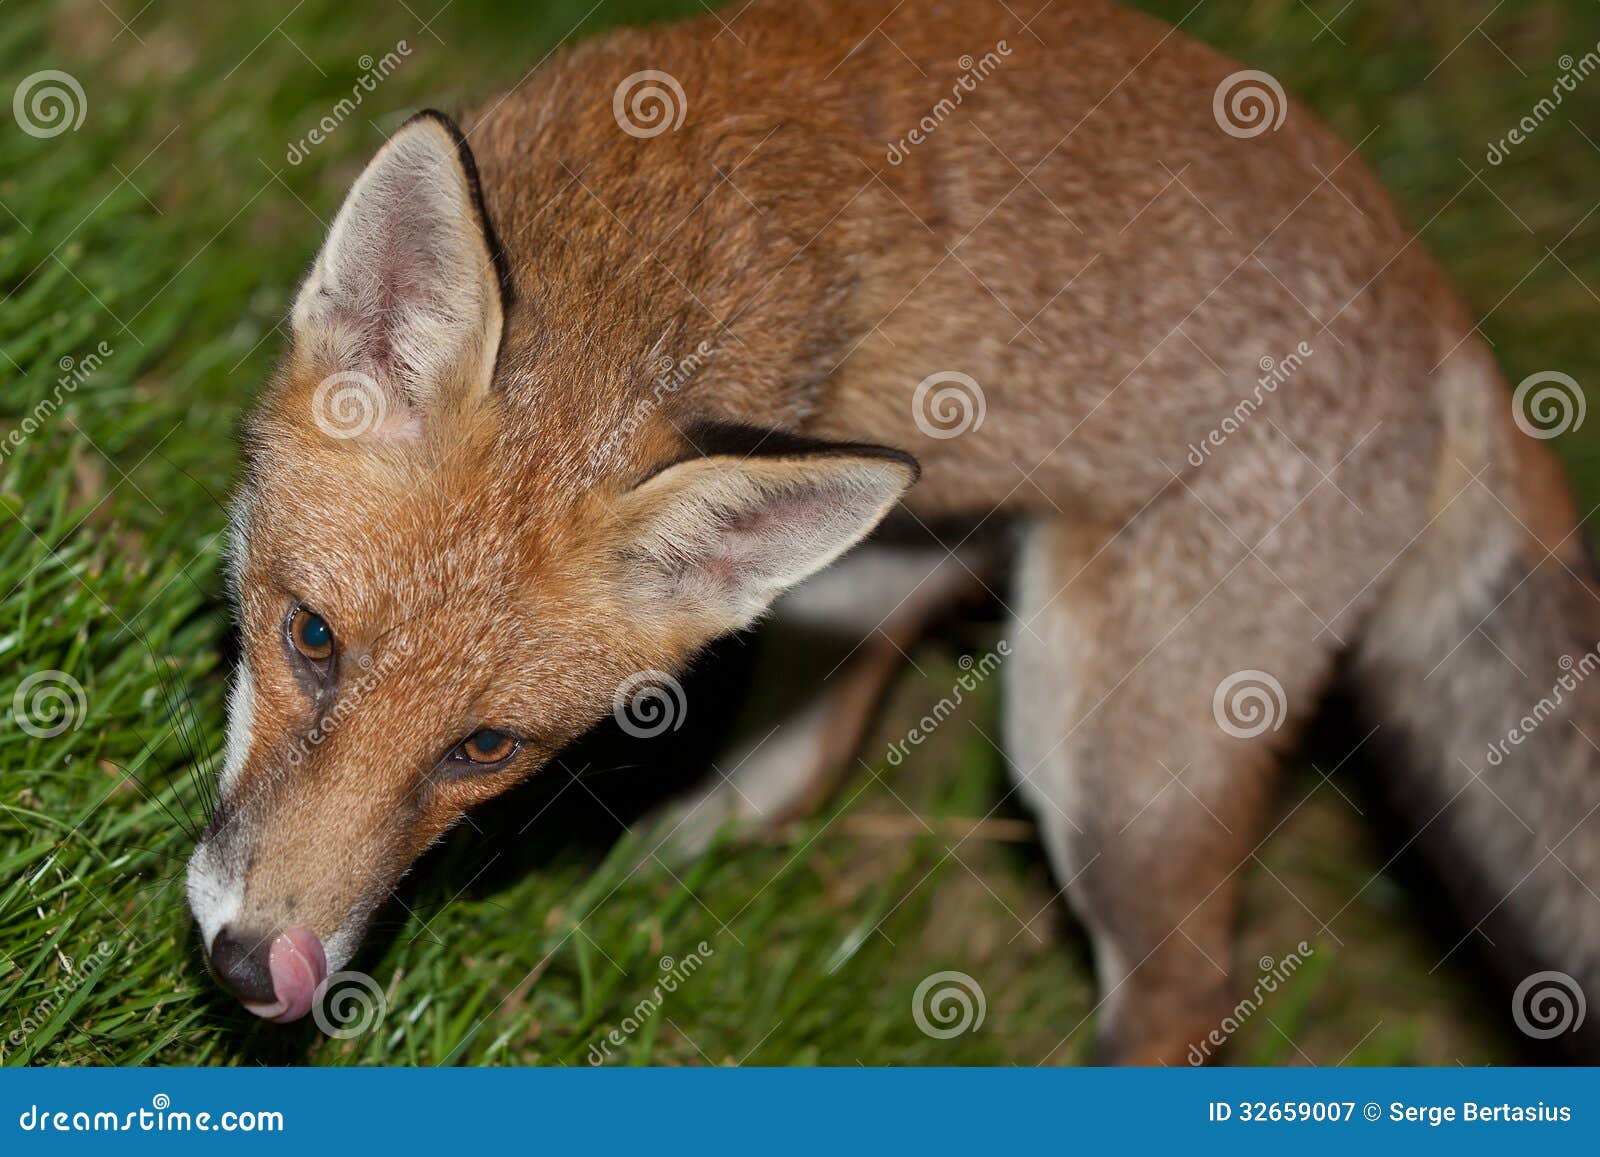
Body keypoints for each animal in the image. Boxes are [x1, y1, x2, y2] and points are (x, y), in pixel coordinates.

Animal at [186, 0, 1600, 1063]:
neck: (659, 222)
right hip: (861, 567)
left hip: (1103, 746)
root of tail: (1446, 323)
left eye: (485, 747)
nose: (262, 968)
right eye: (311, 640)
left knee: (1185, 995)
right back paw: (649, 875)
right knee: (812, 753)